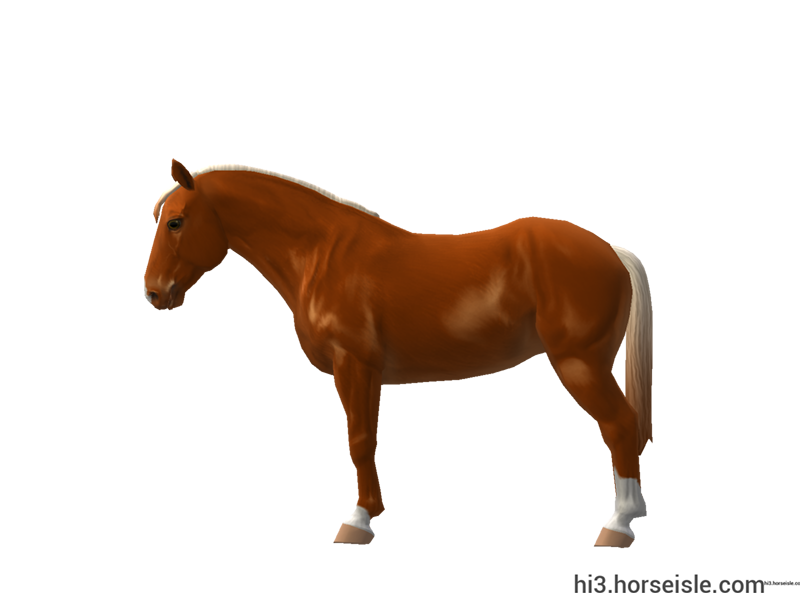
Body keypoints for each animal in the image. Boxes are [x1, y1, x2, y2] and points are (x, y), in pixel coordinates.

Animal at [145, 160, 652, 539]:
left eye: (175, 221)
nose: (154, 292)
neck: (322, 253)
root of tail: (612, 254)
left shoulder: (352, 362)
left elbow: (359, 438)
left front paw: (361, 517)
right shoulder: (366, 369)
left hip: (580, 362)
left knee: (620, 424)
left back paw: (624, 521)